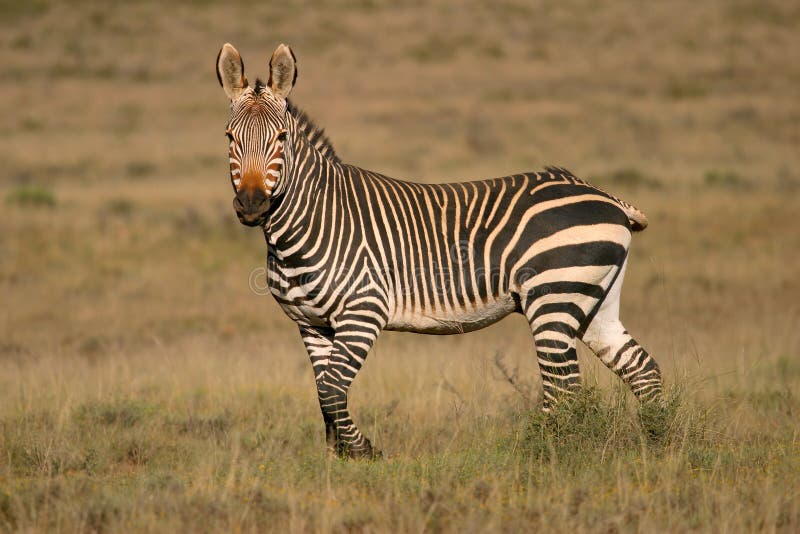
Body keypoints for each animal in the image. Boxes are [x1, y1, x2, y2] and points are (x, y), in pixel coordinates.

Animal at [215, 43, 663, 459]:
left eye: (281, 138)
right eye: (230, 138)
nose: (252, 205)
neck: (313, 221)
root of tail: (603, 195)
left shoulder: (363, 312)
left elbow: (332, 387)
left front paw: (363, 452)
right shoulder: (311, 324)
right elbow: (326, 395)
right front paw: (335, 462)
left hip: (553, 298)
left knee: (563, 386)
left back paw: (545, 453)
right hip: (593, 302)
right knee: (640, 368)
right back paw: (658, 443)